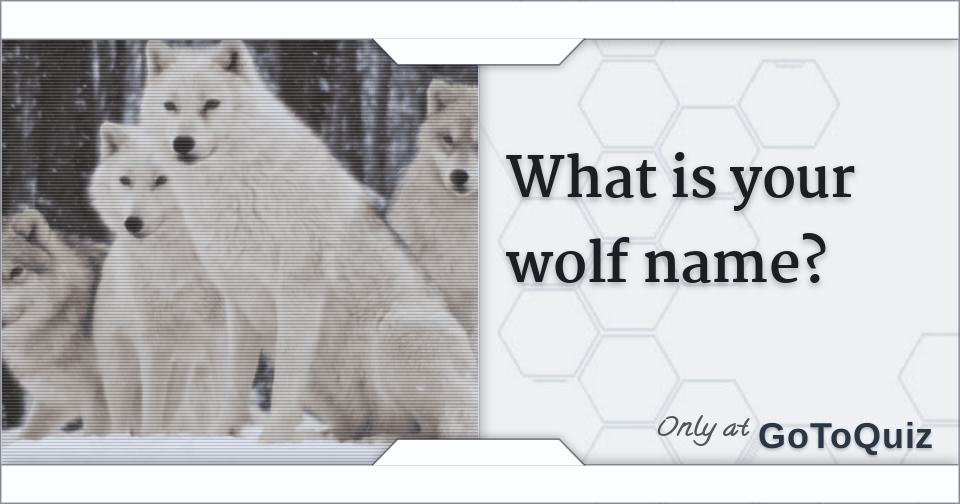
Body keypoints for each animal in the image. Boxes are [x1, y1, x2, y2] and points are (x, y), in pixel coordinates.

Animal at [89, 122, 229, 436]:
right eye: (125, 180)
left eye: (162, 179)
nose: (132, 223)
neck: (179, 258)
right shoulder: (153, 344)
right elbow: (150, 417)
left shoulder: (221, 336)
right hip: (121, 376)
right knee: (123, 424)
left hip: (181, 378)